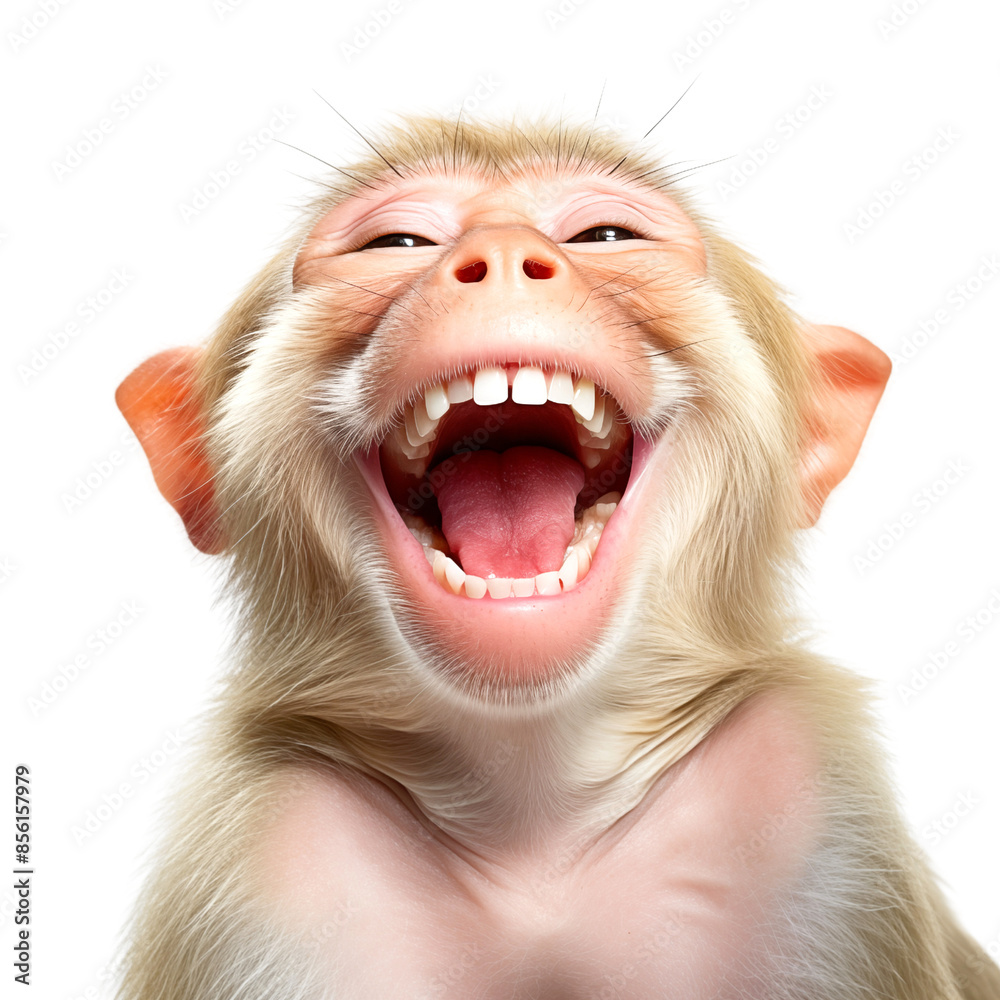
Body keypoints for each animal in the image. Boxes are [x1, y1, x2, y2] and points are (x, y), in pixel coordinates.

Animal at [114, 116, 1000, 1000]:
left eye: (606, 236)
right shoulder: (267, 860)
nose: (503, 256)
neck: (533, 822)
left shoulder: (810, 820)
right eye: (393, 243)